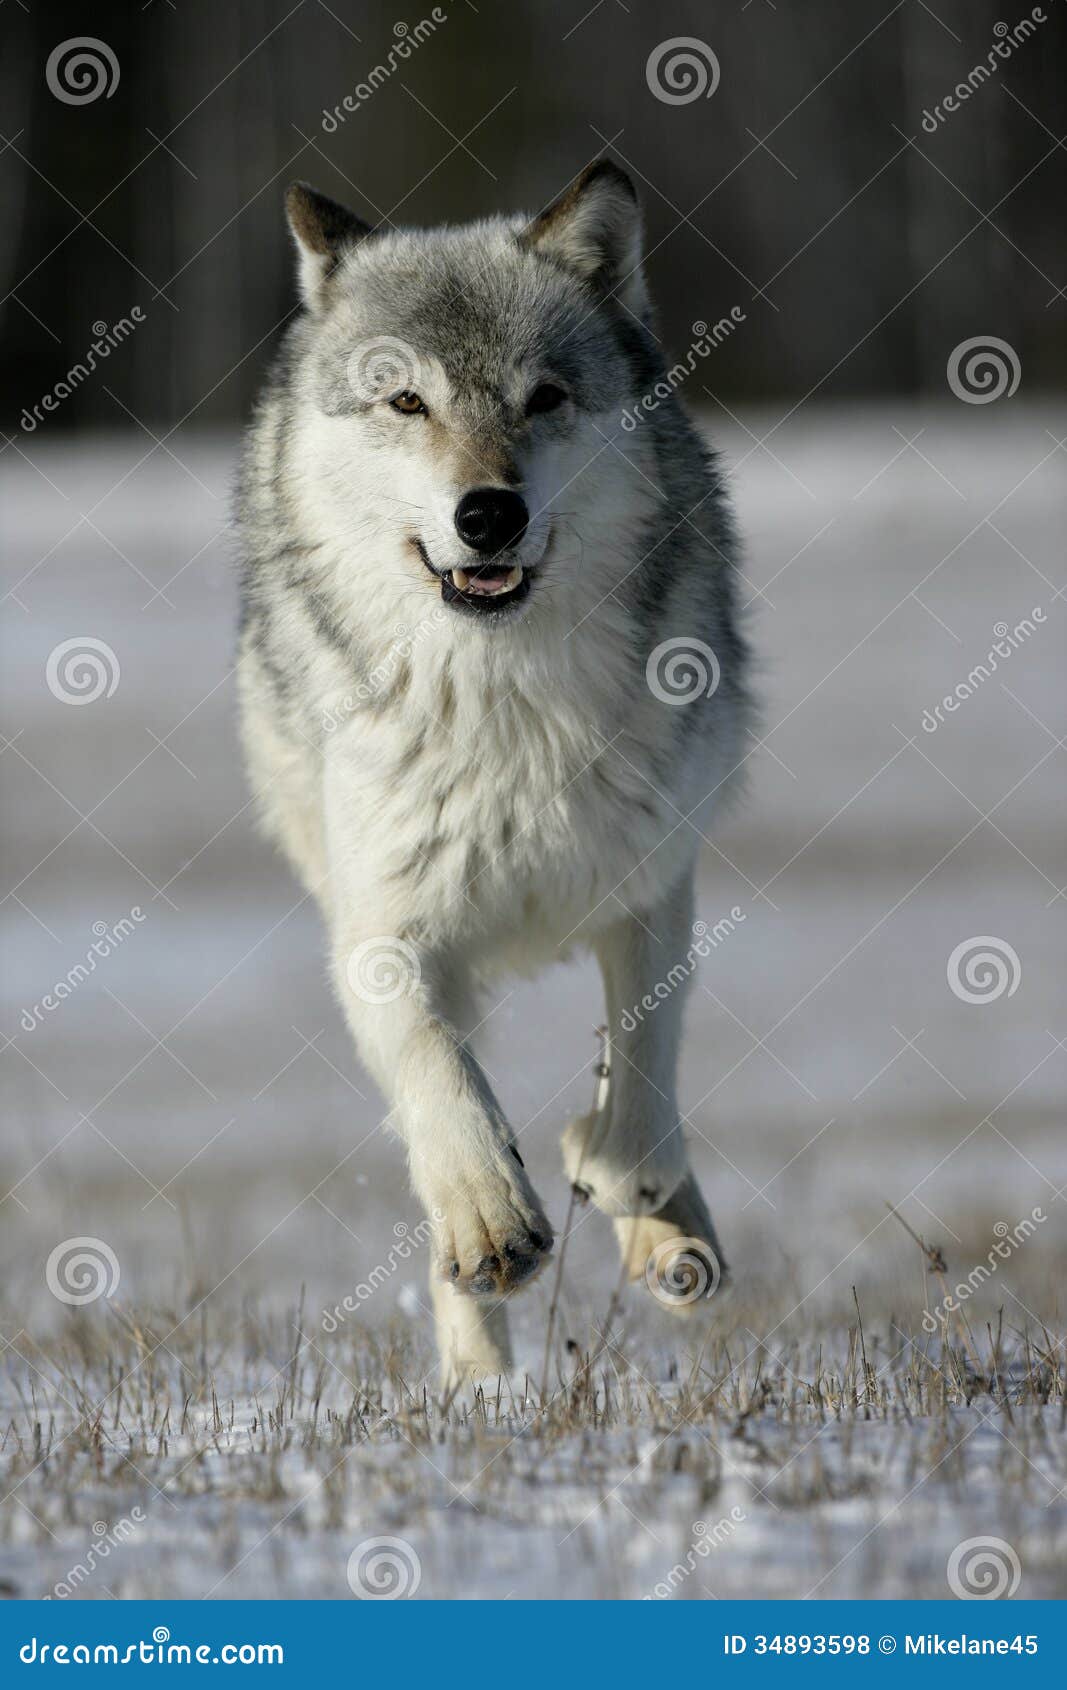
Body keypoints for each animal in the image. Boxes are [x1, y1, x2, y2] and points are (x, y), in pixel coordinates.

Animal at [236, 162, 750, 1386]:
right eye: (406, 403)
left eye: (543, 398)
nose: (487, 513)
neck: (504, 698)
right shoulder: (380, 929)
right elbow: (441, 1082)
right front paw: (489, 1217)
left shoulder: (652, 879)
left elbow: (642, 1074)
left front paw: (623, 1180)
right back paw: (480, 1383)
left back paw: (668, 1235)